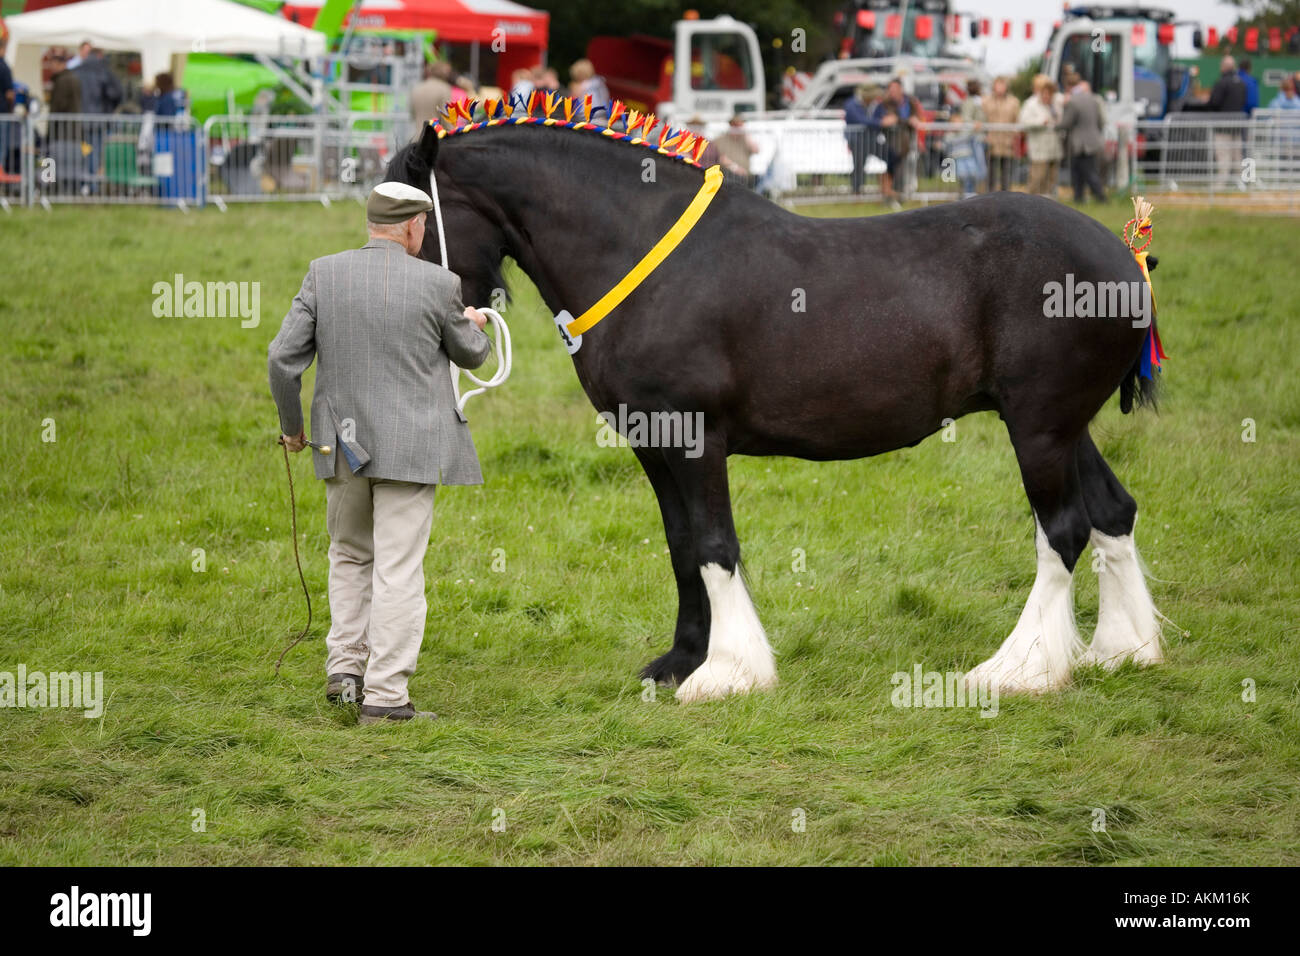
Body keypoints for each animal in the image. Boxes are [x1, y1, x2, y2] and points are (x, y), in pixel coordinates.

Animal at [383, 101, 1166, 702]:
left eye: (414, 220)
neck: (639, 253)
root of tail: (1125, 259)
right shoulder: (652, 443)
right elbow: (680, 546)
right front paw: (680, 662)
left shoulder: (694, 437)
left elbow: (713, 545)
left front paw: (727, 673)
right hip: (1063, 427)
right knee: (1112, 512)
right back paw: (1122, 651)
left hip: (1038, 428)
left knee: (1062, 531)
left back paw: (1018, 669)